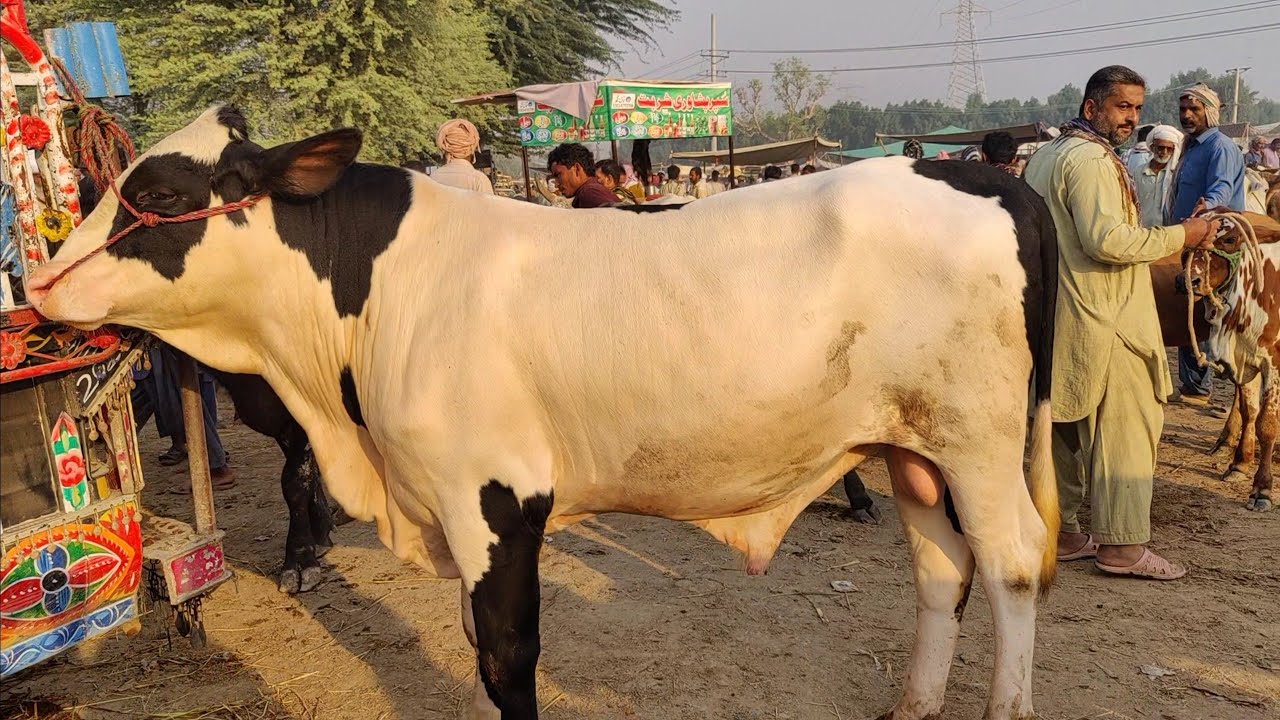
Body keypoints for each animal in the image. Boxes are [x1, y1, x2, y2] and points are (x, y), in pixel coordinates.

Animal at [26, 106, 1059, 720]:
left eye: (157, 194)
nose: (38, 280)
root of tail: (983, 176)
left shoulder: (497, 499)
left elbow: (506, 654)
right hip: (908, 448)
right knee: (941, 570)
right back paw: (913, 705)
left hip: (980, 445)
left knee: (1010, 569)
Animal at [1184, 211, 1280, 512]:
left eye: (1229, 239)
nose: (1188, 281)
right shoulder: (1246, 360)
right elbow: (1249, 412)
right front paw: (1240, 463)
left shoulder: (1273, 363)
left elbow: (1267, 424)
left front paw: (1263, 489)